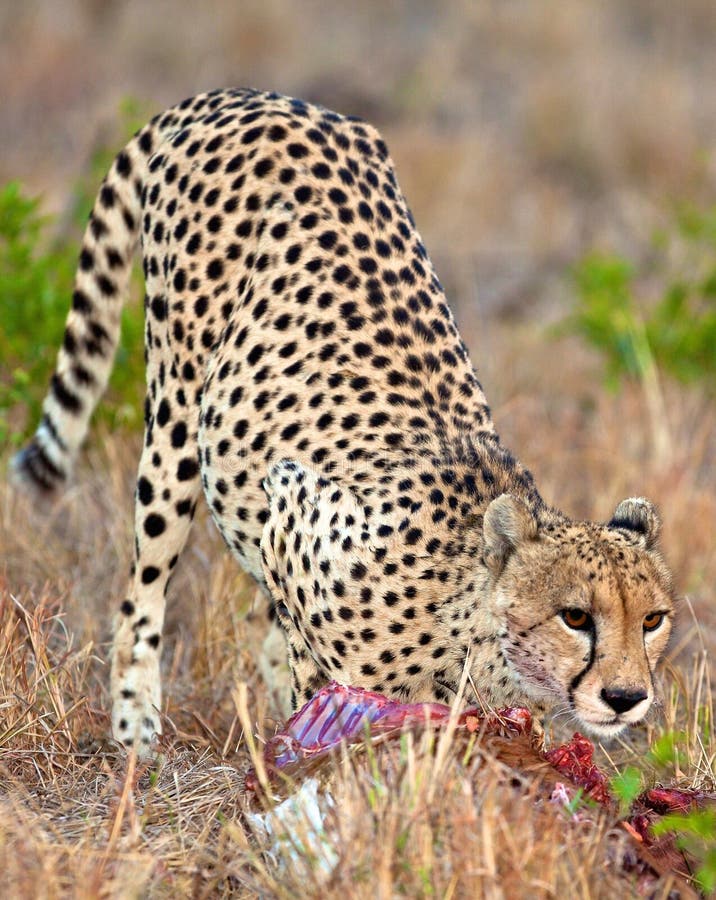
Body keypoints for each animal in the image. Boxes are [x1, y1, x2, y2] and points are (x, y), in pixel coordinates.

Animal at [11, 88, 675, 756]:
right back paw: (136, 726)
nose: (626, 698)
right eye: (575, 617)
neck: (469, 626)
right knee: (144, 591)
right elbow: (318, 675)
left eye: (652, 619)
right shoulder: (291, 510)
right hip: (175, 416)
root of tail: (246, 97)